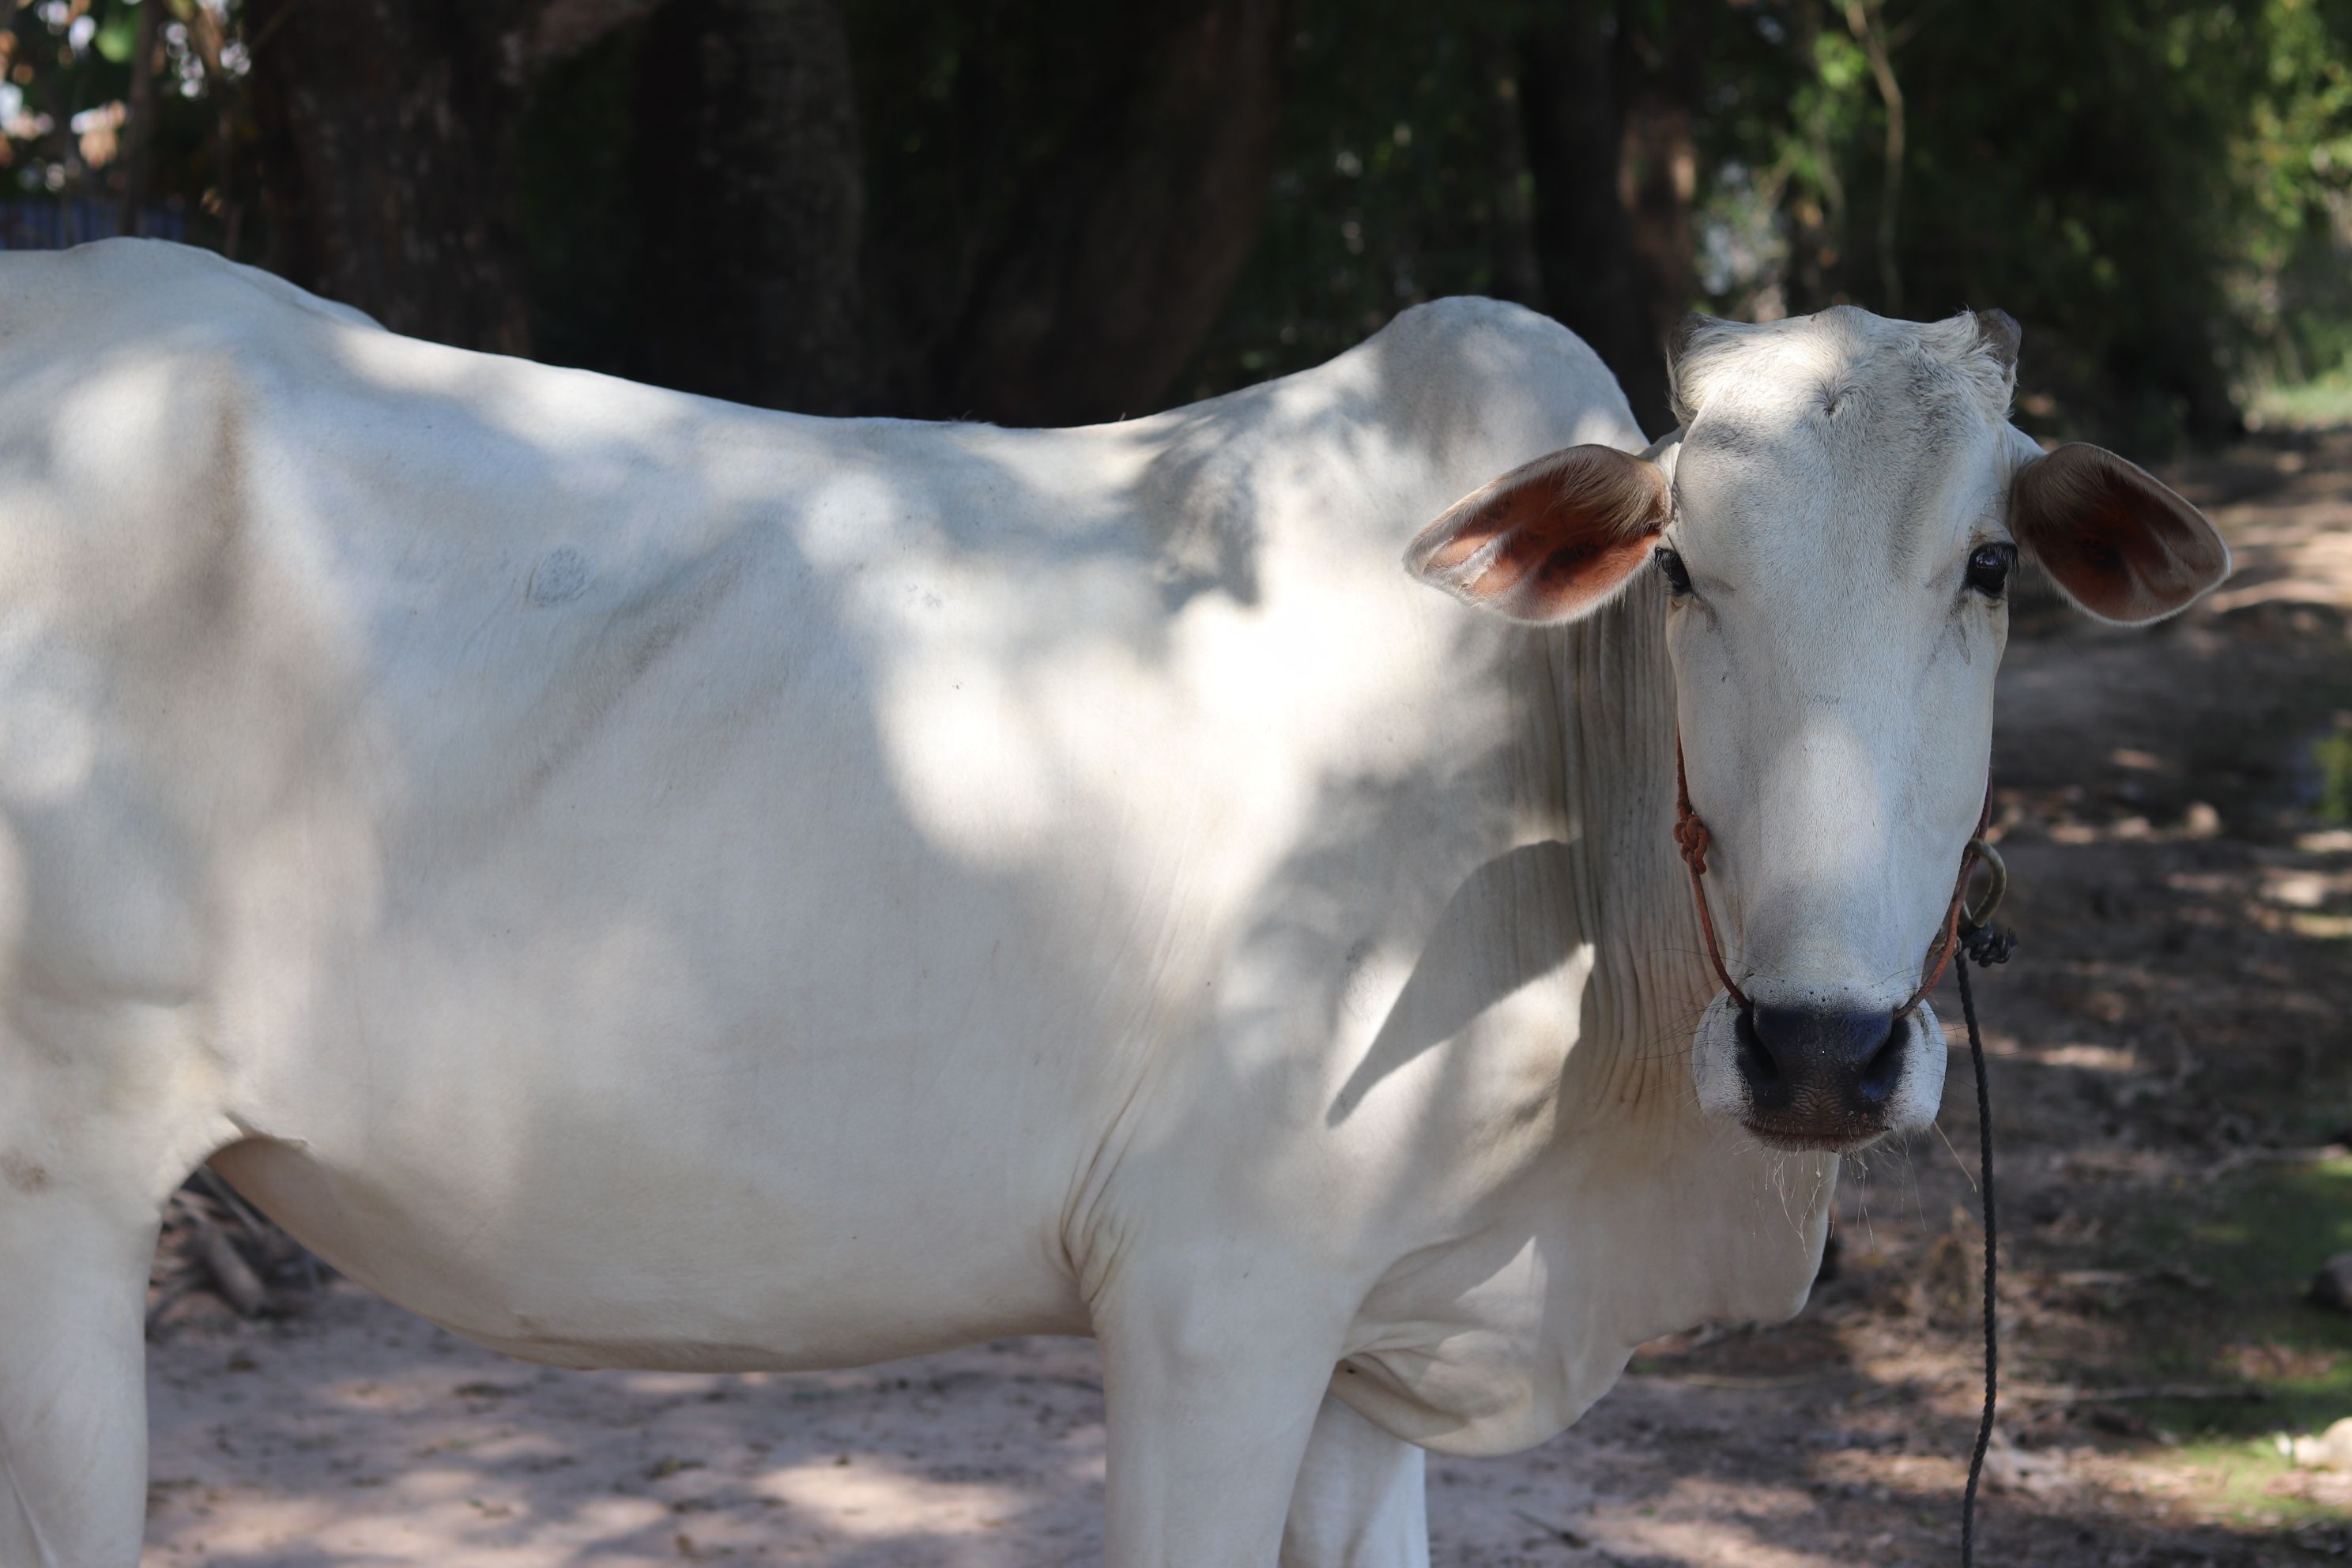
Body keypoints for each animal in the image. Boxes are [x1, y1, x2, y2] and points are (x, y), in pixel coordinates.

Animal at [0, 239, 2224, 1567]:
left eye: (1991, 568)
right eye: (1683, 565)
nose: (1823, 1050)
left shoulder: (1378, 1339)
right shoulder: (1209, 1296)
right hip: (58, 1192)